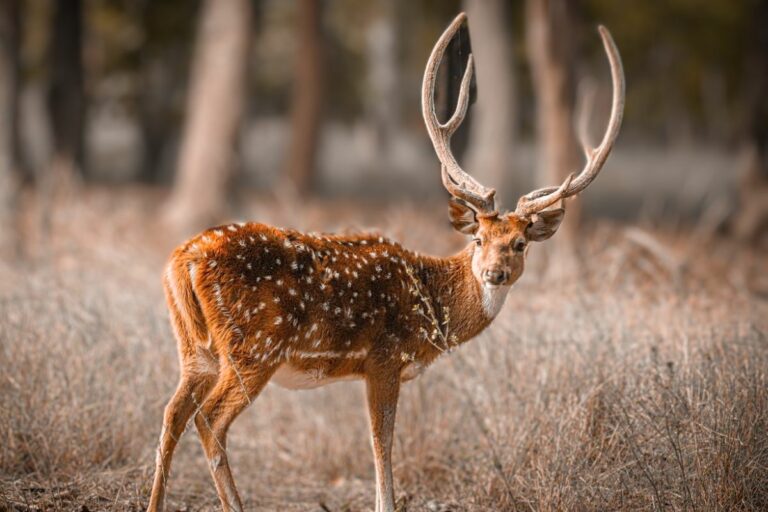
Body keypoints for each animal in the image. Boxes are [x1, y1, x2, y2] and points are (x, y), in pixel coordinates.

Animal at [147, 12, 624, 512]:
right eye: (479, 238)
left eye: (519, 244)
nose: (494, 272)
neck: (432, 305)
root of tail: (182, 260)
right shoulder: (383, 357)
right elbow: (381, 444)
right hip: (254, 346)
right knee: (209, 419)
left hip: (194, 347)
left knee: (172, 413)